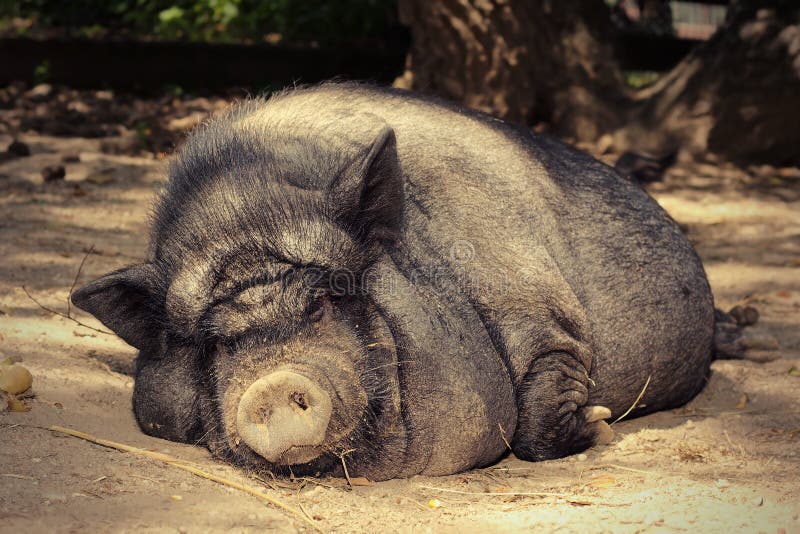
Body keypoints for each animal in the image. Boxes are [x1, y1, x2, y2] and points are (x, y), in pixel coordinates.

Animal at [73, 83, 721, 481]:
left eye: (327, 297)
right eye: (214, 341)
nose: (273, 385)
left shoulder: (540, 308)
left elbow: (543, 403)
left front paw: (602, 424)